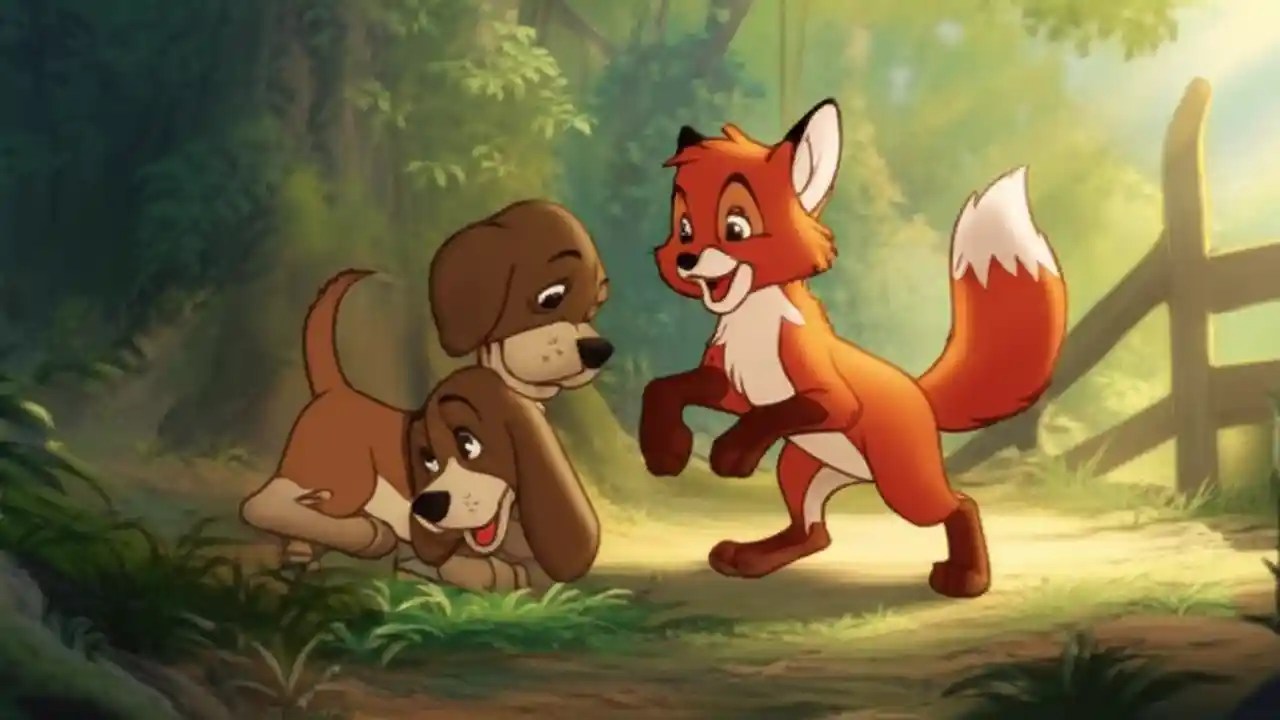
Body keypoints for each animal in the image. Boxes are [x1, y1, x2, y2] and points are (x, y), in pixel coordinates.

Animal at [639, 98, 1067, 598]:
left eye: (736, 226)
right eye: (684, 228)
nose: (685, 259)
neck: (754, 325)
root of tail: (919, 392)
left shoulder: (830, 398)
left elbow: (779, 411)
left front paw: (730, 455)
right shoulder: (732, 387)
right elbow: (663, 388)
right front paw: (665, 451)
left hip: (904, 484)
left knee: (960, 504)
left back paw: (967, 579)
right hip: (799, 466)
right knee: (813, 532)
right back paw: (749, 558)